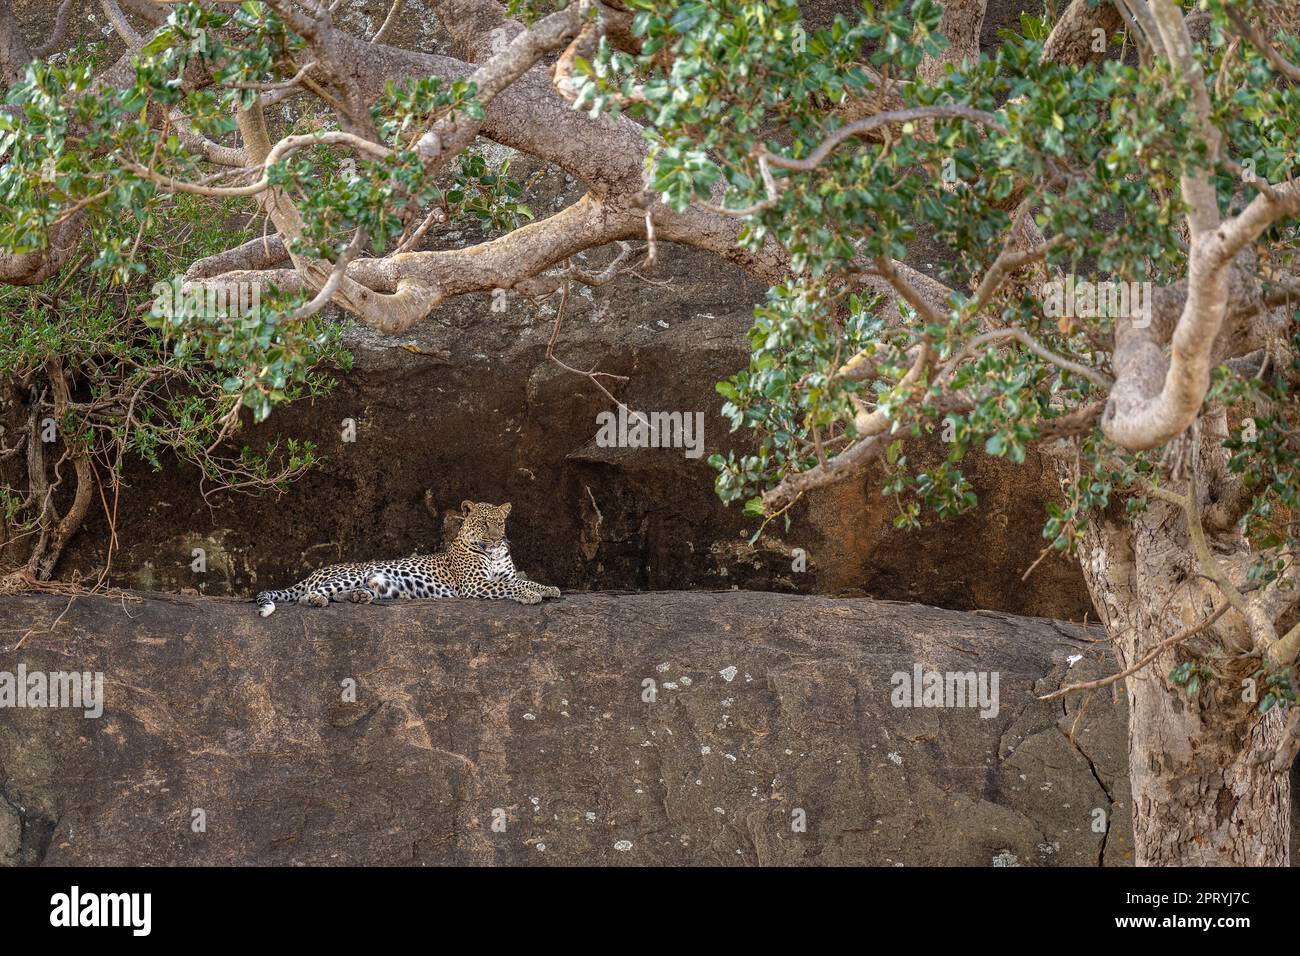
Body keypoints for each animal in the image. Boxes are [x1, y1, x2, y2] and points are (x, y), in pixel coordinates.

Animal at [254, 500, 561, 617]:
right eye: (484, 524)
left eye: (500, 523)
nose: (497, 538)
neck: (494, 553)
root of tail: (314, 572)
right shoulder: (475, 584)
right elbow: (510, 587)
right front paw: (531, 596)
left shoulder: (506, 575)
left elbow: (525, 581)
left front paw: (549, 589)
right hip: (350, 574)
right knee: (306, 596)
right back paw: (318, 600)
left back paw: (359, 597)